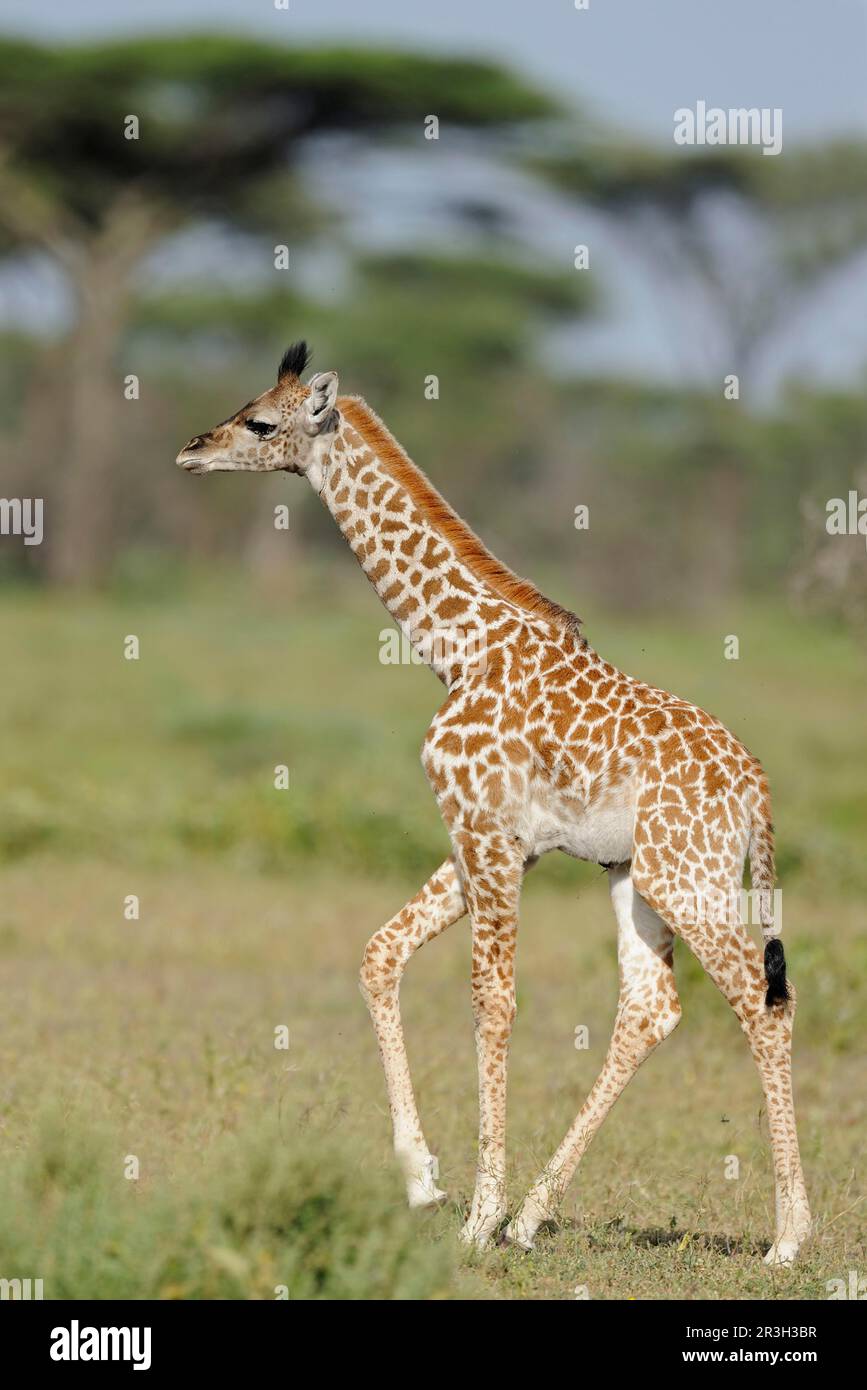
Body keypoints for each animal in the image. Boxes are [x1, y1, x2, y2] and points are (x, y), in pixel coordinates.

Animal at [176, 341, 811, 1266]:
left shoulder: (484, 832)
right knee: (651, 1006)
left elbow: (491, 999)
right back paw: (534, 1214)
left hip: (687, 879)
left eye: (259, 422)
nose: (191, 450)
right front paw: (423, 1180)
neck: (457, 648)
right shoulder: (494, 840)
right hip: (638, 876)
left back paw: (787, 1239)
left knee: (763, 1006)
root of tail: (755, 786)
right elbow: (378, 954)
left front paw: (475, 1216)